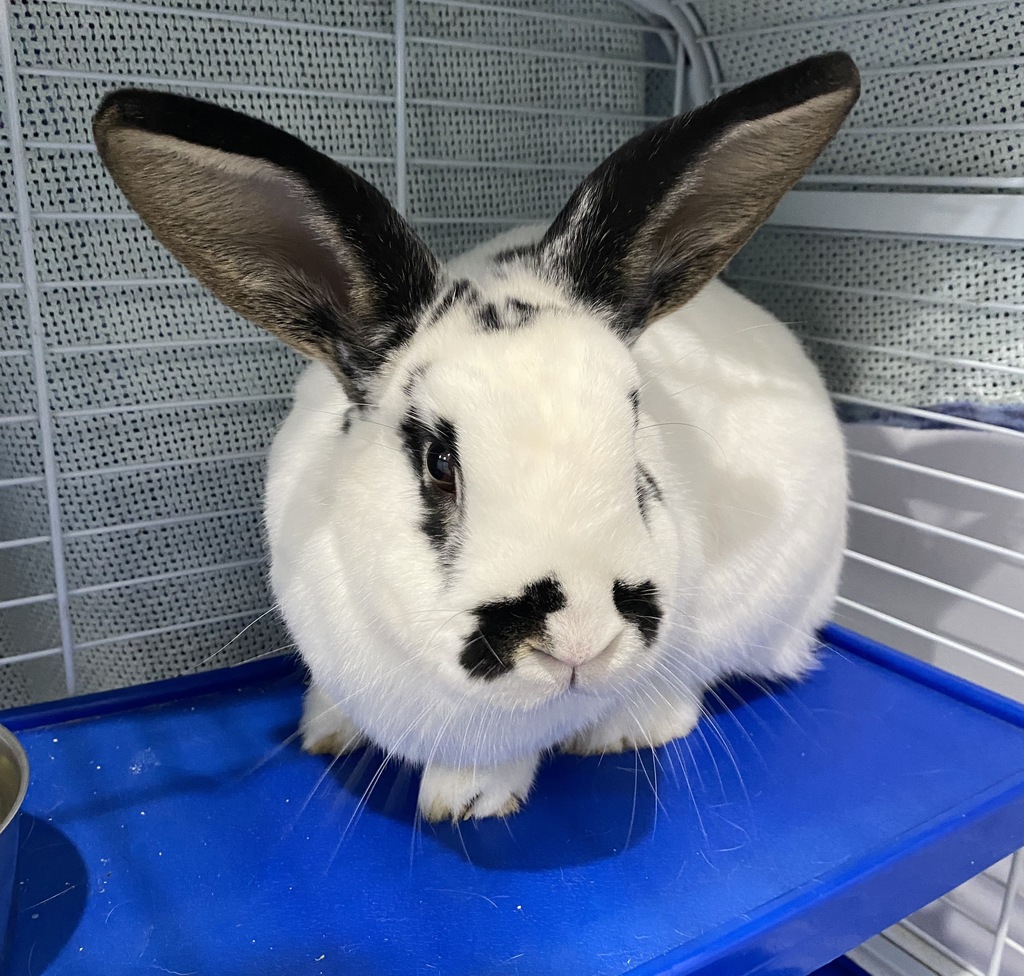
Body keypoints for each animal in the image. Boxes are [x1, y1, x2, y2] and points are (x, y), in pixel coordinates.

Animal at [93, 51, 859, 823]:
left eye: (633, 428)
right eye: (439, 462)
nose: (580, 641)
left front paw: (465, 800)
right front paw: (337, 733)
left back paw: (627, 728)